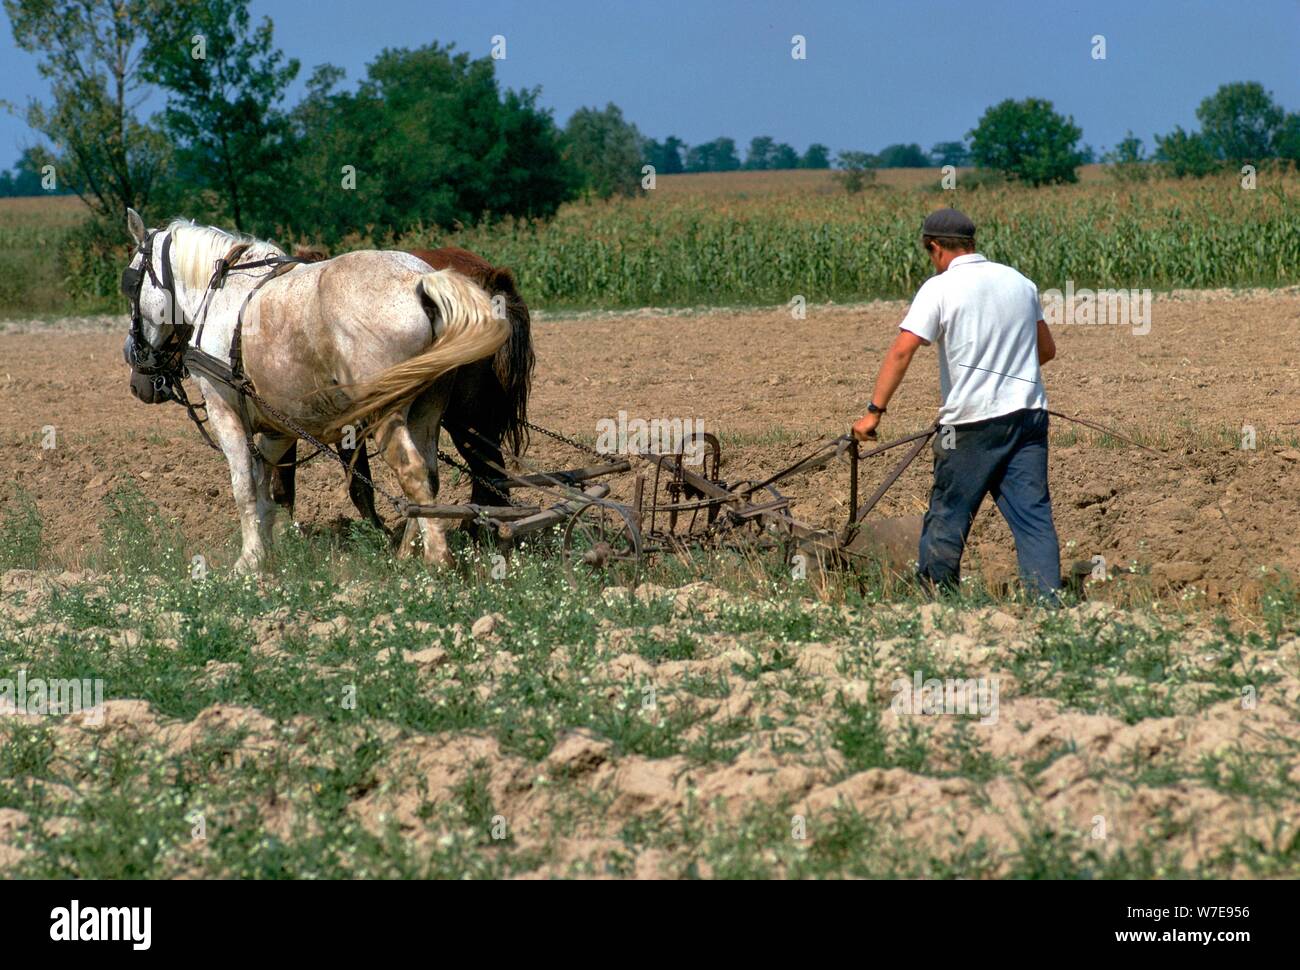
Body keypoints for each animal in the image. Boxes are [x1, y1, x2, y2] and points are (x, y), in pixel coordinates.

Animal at [120, 208, 509, 573]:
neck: (220, 293)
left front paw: (248, 561)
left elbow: (244, 485)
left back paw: (438, 561)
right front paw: (266, 550)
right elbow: (264, 482)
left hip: (385, 412)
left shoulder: (223, 406)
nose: (135, 368)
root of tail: (420, 280)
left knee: (413, 471)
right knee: (429, 473)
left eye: (130, 282)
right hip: (428, 410)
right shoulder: (278, 424)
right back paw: (407, 554)